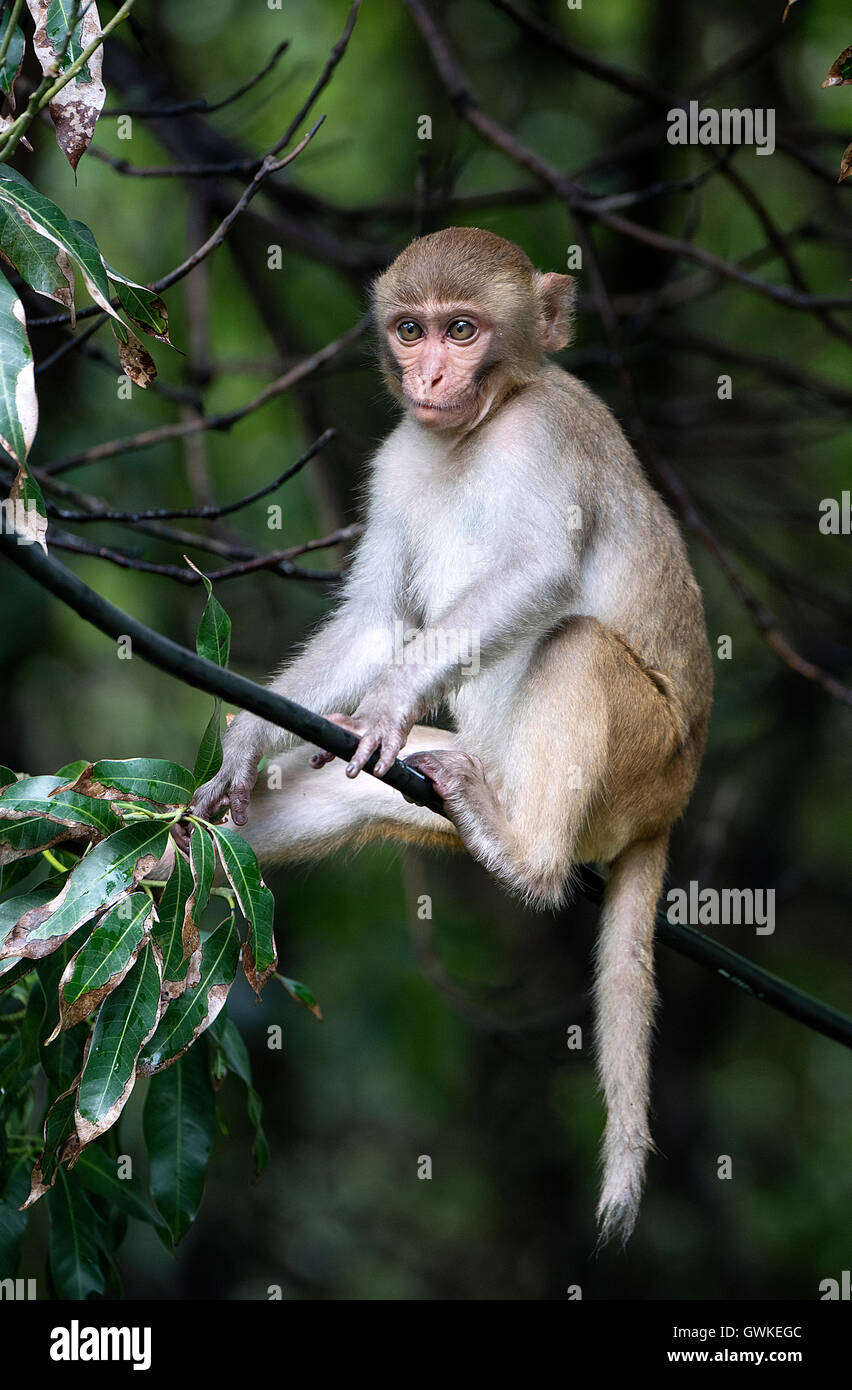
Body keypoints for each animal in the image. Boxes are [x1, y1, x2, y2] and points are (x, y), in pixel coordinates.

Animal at [192, 227, 713, 1244]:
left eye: (463, 330)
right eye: (411, 329)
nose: (430, 374)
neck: (481, 427)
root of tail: (668, 807)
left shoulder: (548, 435)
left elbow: (542, 571)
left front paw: (392, 700)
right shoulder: (400, 454)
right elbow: (374, 623)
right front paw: (243, 745)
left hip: (645, 763)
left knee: (575, 643)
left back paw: (531, 862)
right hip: (466, 774)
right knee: (351, 791)